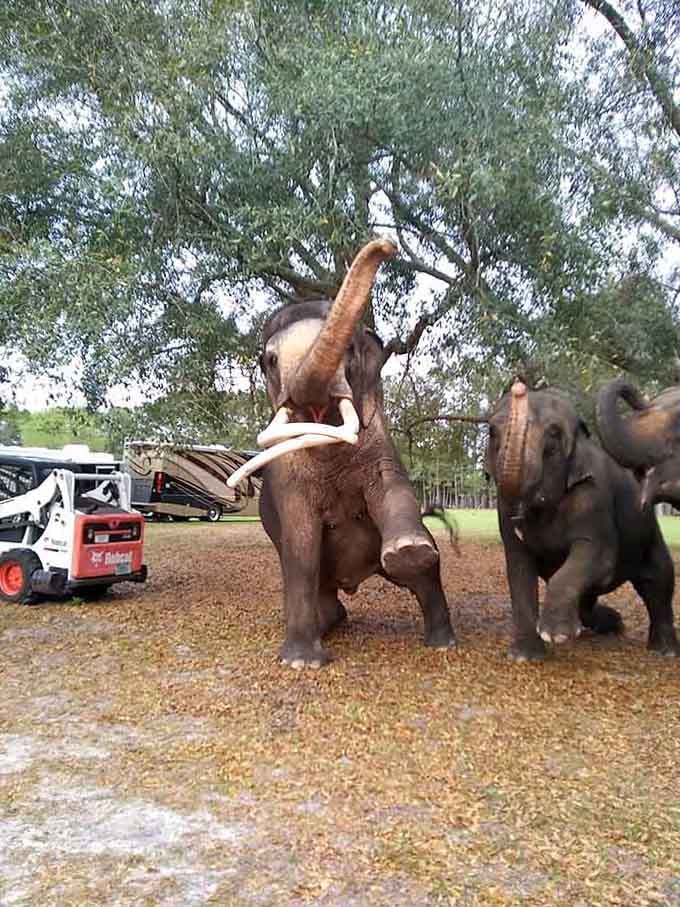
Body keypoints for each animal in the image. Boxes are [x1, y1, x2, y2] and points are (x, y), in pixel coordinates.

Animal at [235, 238, 455, 668]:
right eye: (269, 360)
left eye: (350, 350)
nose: (388, 243)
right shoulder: (286, 477)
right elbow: (300, 544)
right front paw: (302, 663)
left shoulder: (380, 443)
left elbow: (390, 488)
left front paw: (410, 550)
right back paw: (326, 623)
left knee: (425, 578)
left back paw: (443, 642)